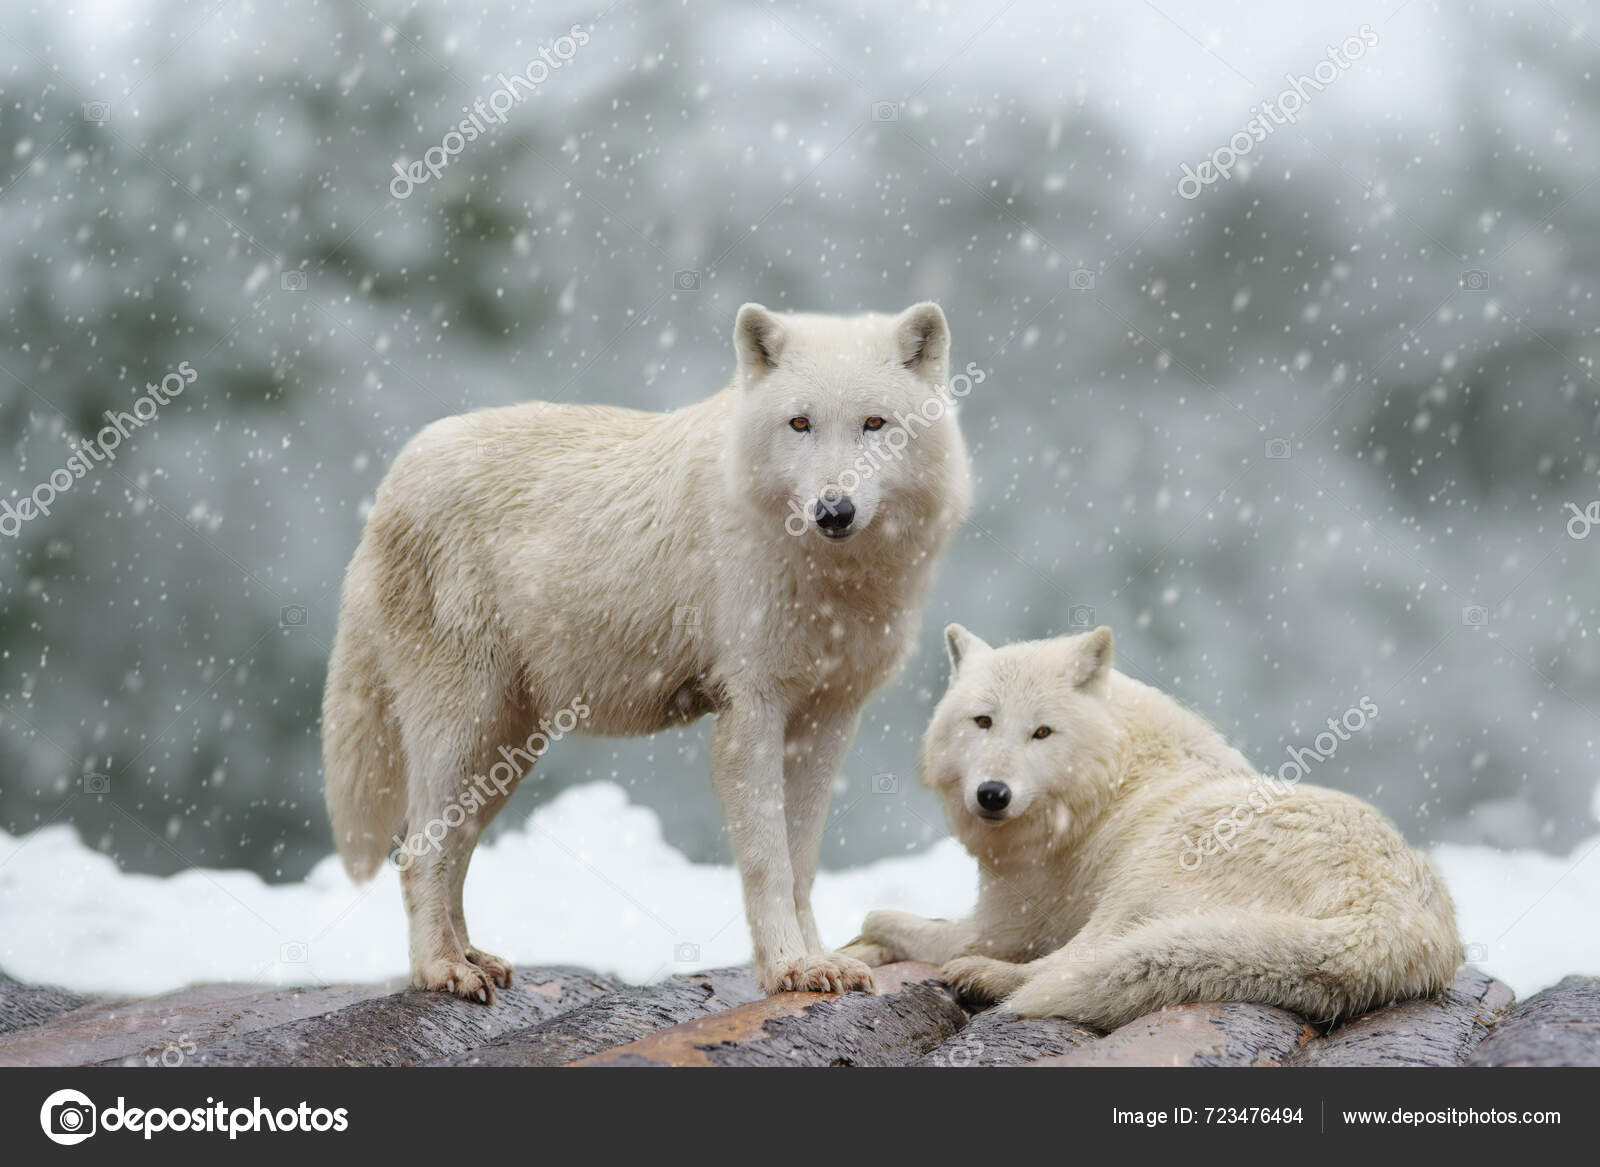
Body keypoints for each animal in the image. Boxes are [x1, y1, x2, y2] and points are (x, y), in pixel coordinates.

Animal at [322, 302, 972, 1001]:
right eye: (800, 423)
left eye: (874, 423)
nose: (833, 509)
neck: (834, 585)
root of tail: (396, 476)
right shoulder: (752, 711)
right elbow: (769, 861)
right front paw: (787, 968)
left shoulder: (829, 716)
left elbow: (801, 862)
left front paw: (821, 959)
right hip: (462, 726)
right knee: (418, 851)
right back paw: (442, 969)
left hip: (503, 750)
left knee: (454, 852)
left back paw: (473, 956)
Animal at [842, 624, 1461, 1028]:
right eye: (983, 722)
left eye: (1041, 733)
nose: (992, 794)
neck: (1108, 780)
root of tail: (1389, 921)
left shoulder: (1005, 926)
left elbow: (883, 917)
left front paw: (864, 944)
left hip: (1144, 873)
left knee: (1065, 967)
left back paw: (980, 978)